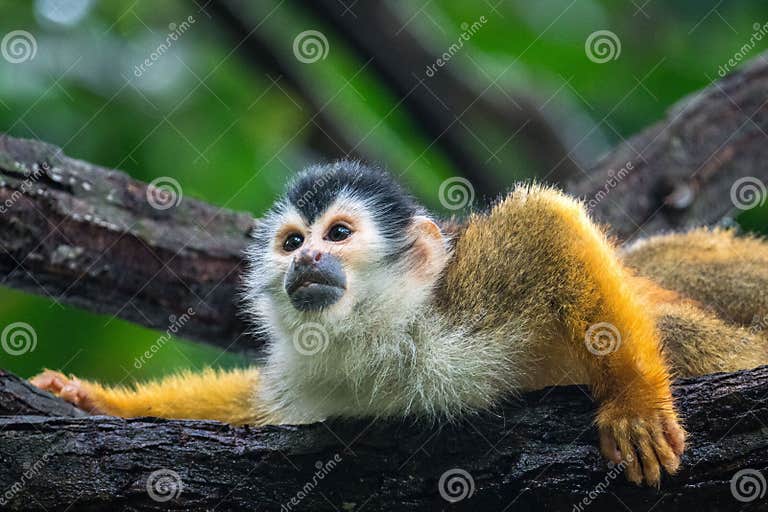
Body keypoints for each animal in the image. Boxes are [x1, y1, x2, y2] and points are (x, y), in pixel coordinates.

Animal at [31, 161, 768, 487]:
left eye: (338, 233)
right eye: (292, 243)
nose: (310, 260)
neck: (380, 330)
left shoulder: (466, 293)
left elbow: (540, 221)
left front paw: (635, 405)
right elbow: (253, 406)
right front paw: (94, 399)